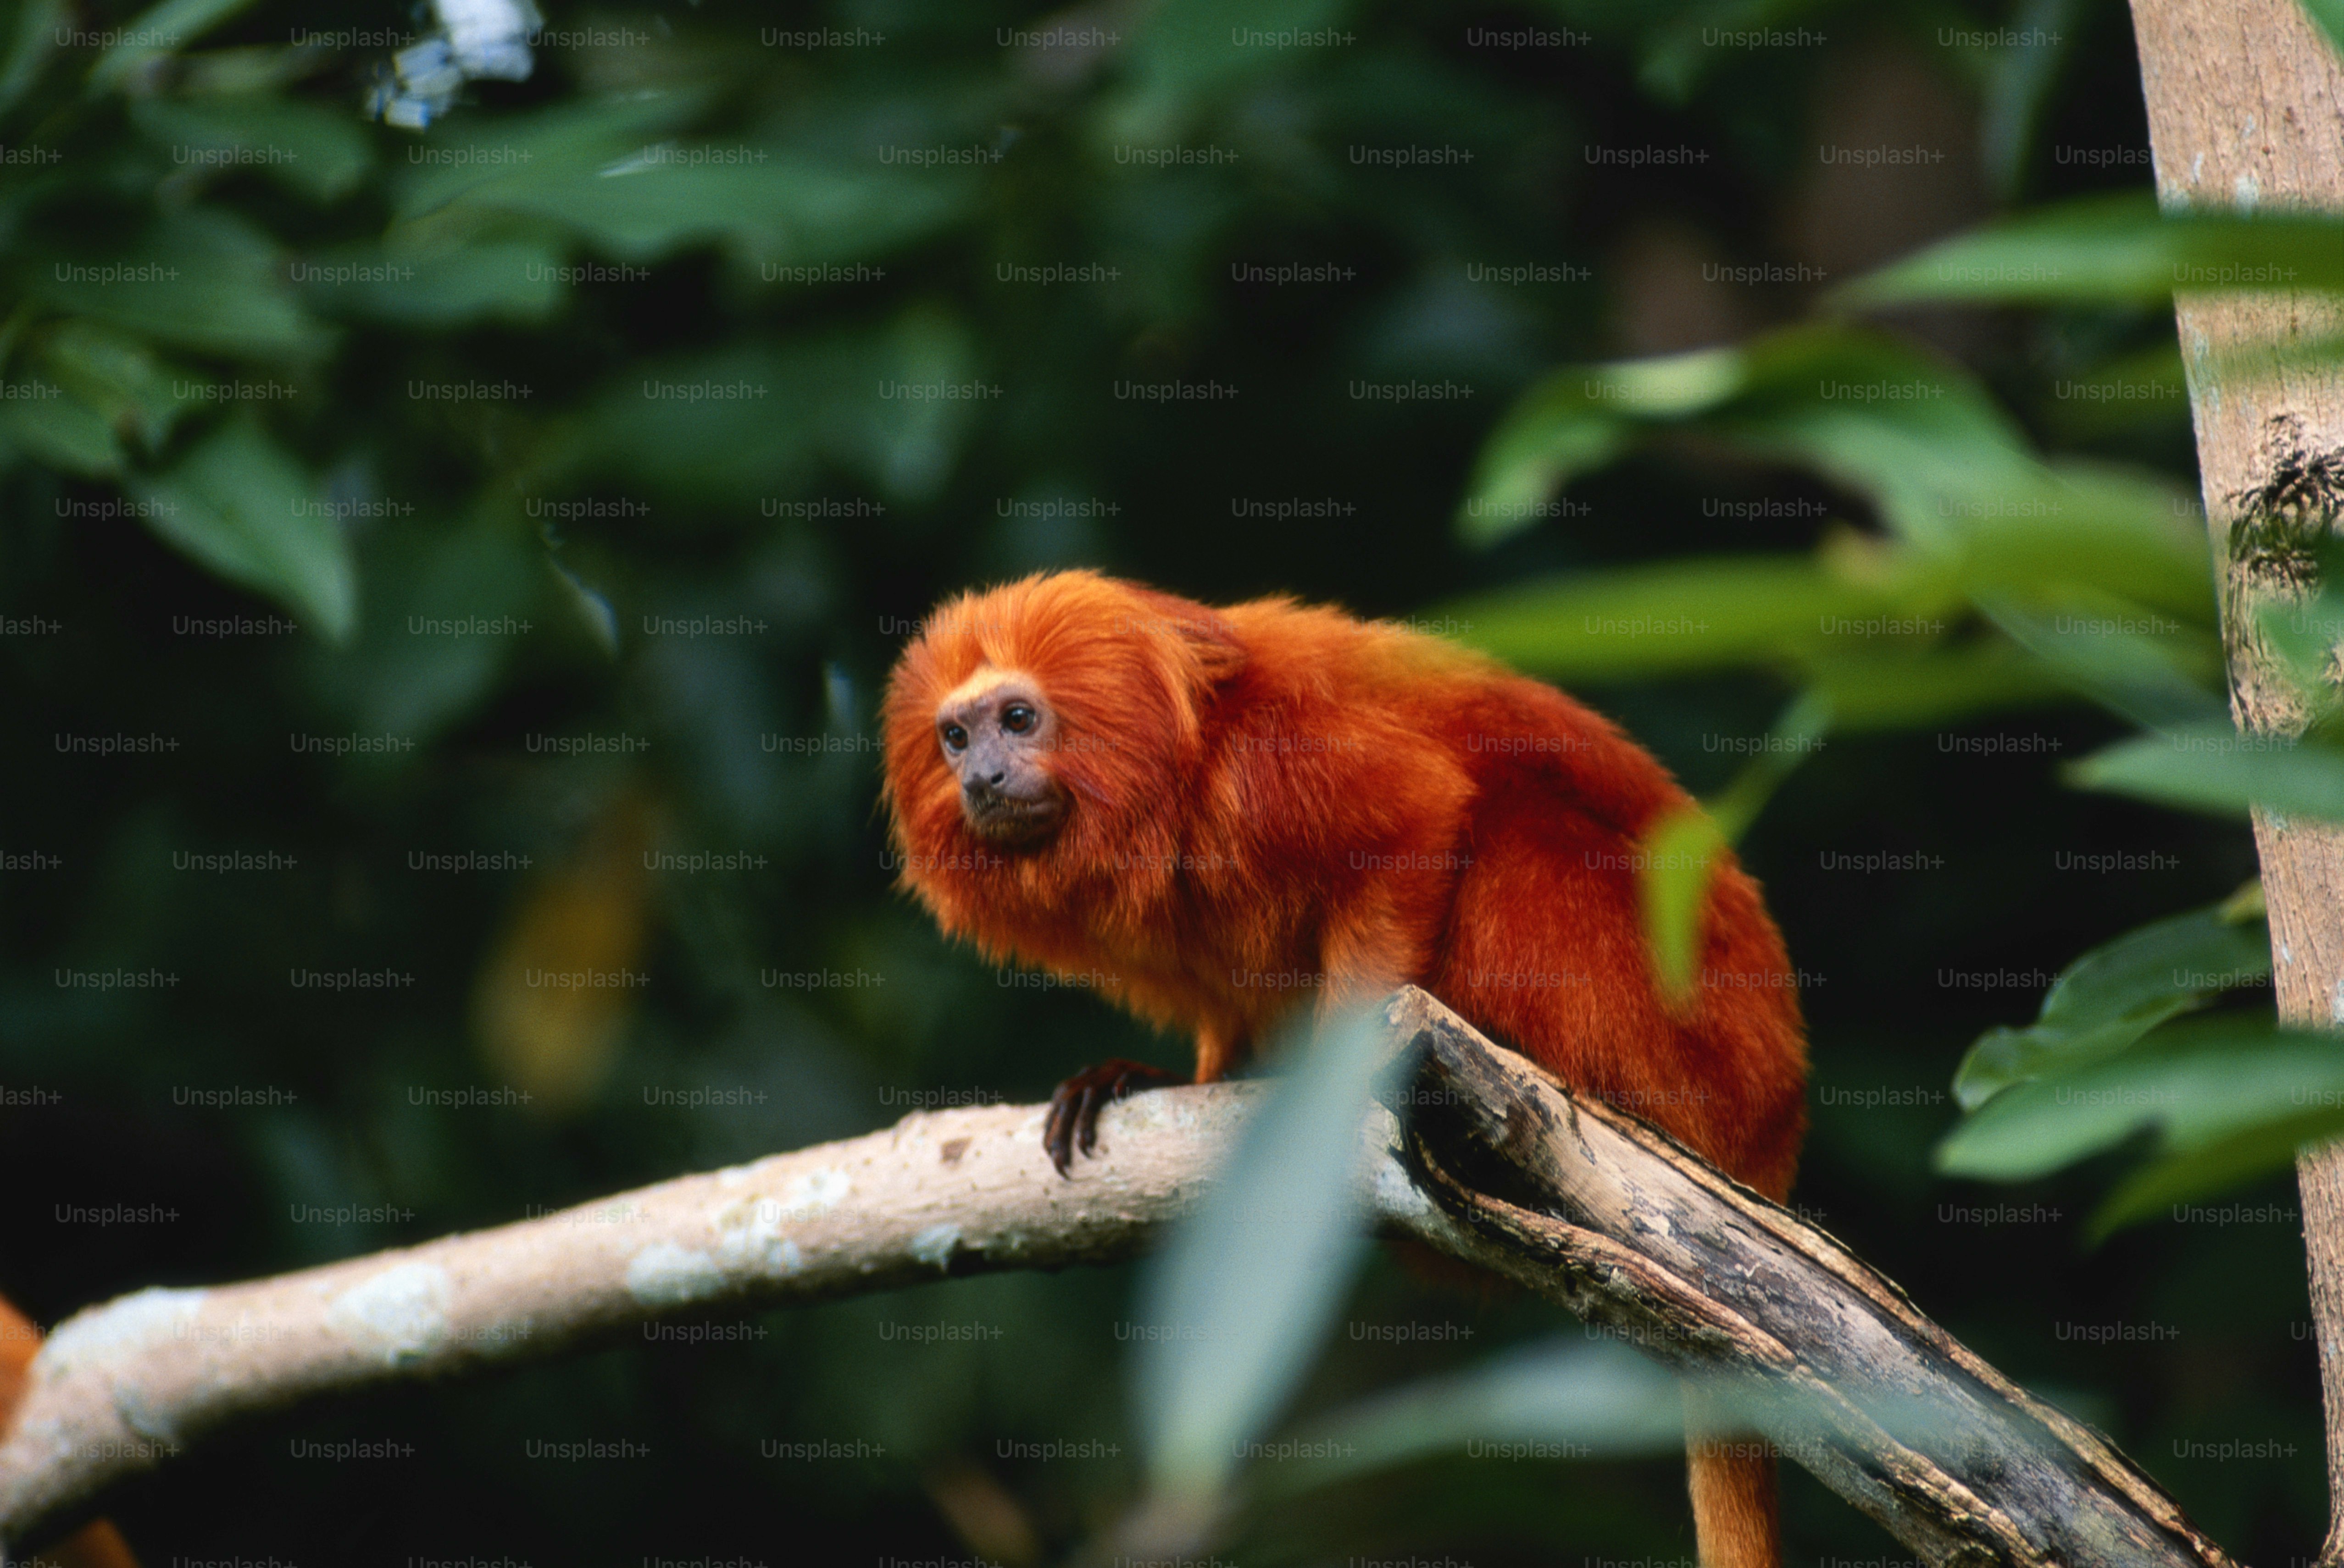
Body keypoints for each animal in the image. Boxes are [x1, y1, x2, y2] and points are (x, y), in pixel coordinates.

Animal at [880, 569, 1806, 1568]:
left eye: (1017, 718)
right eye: (955, 735)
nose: (979, 777)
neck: (1182, 764)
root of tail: (1771, 1125)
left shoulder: (1280, 766)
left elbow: (1415, 817)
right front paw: (1145, 1079)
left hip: (1673, 1031)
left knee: (1513, 833)